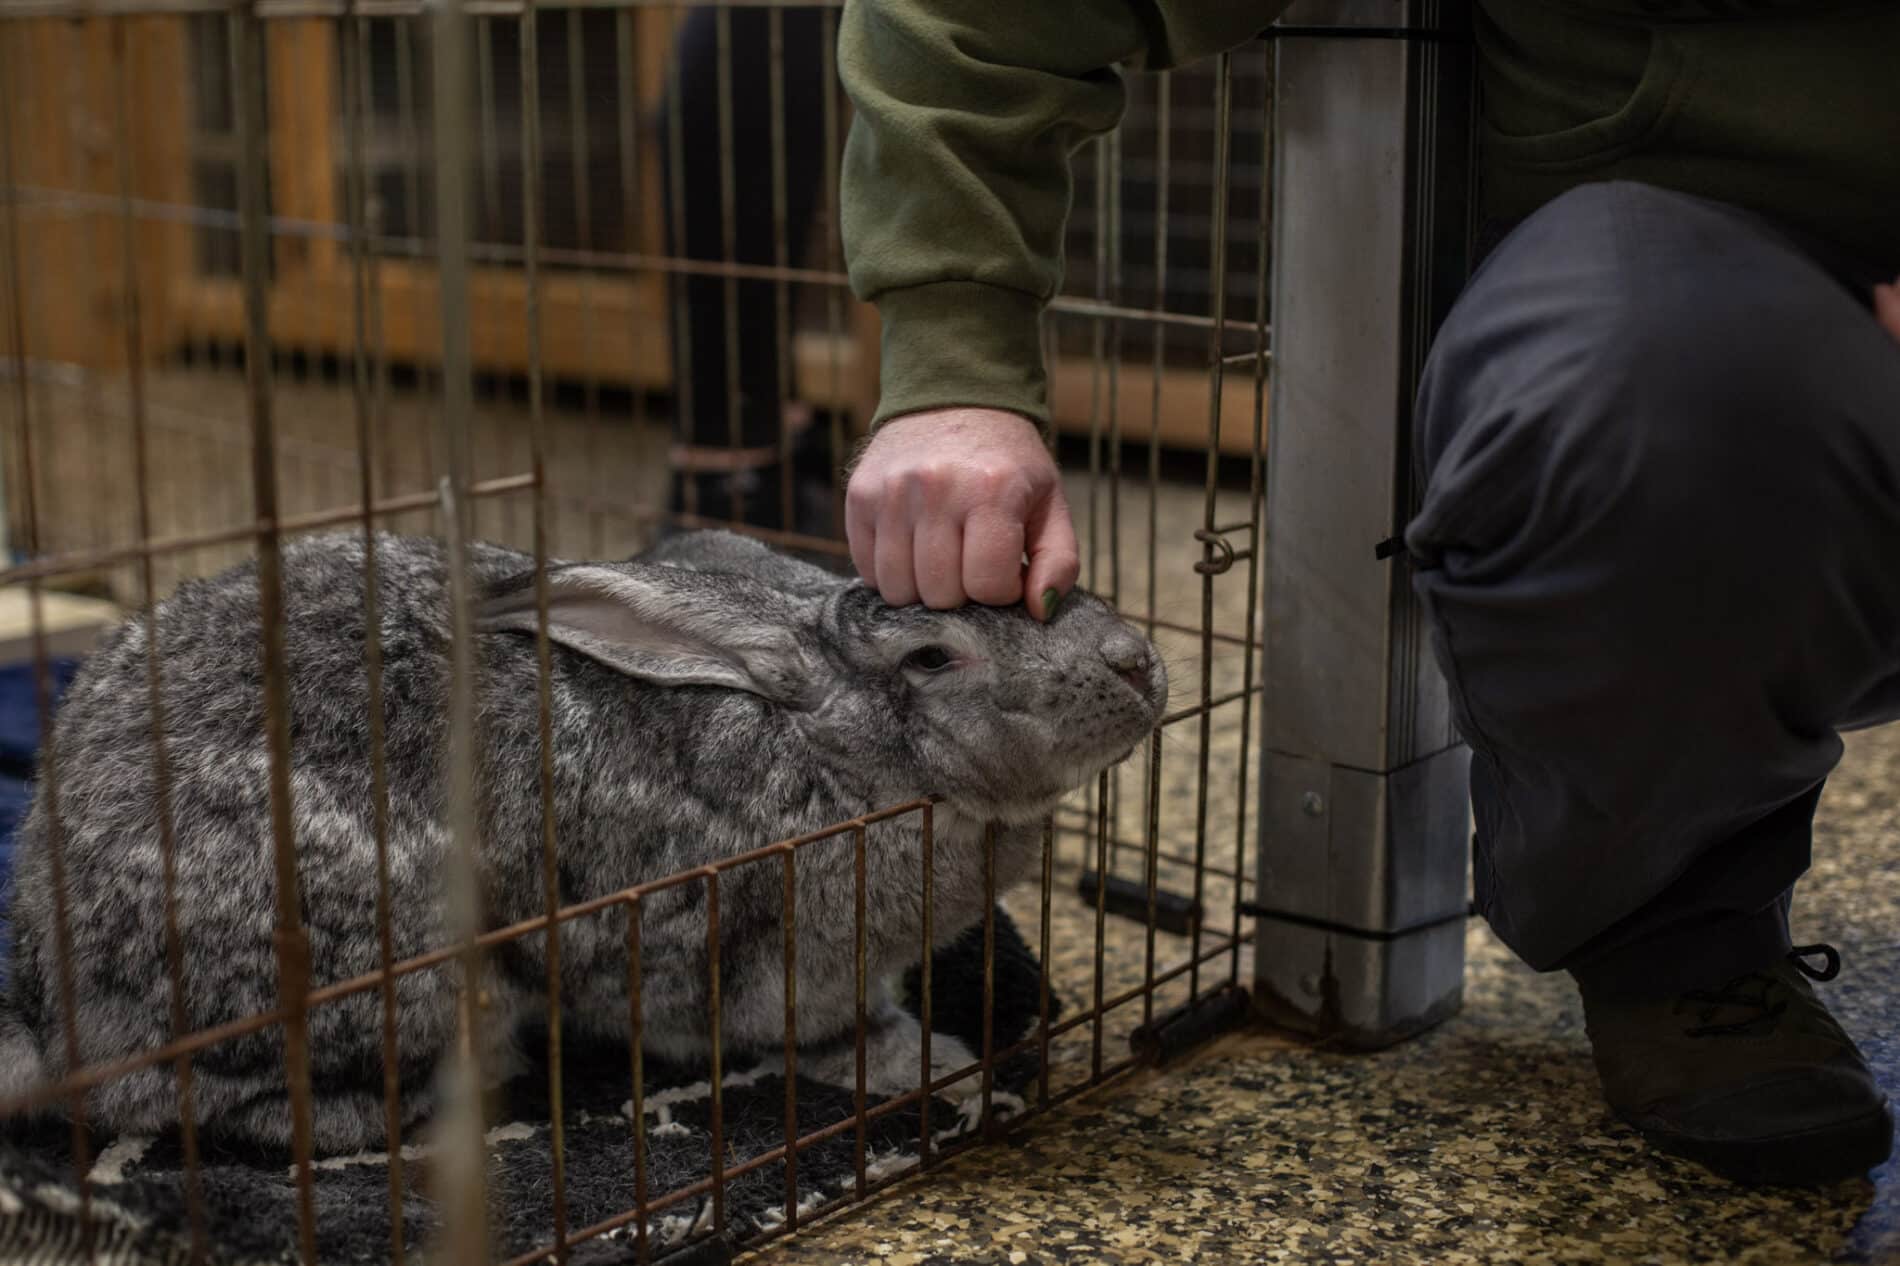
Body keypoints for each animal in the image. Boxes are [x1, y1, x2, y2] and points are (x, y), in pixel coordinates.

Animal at [0, 528, 1168, 1154]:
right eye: (931, 658)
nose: (1142, 664)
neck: (827, 753)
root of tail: (54, 989)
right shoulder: (754, 963)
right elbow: (819, 1033)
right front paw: (930, 1066)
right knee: (162, 1096)